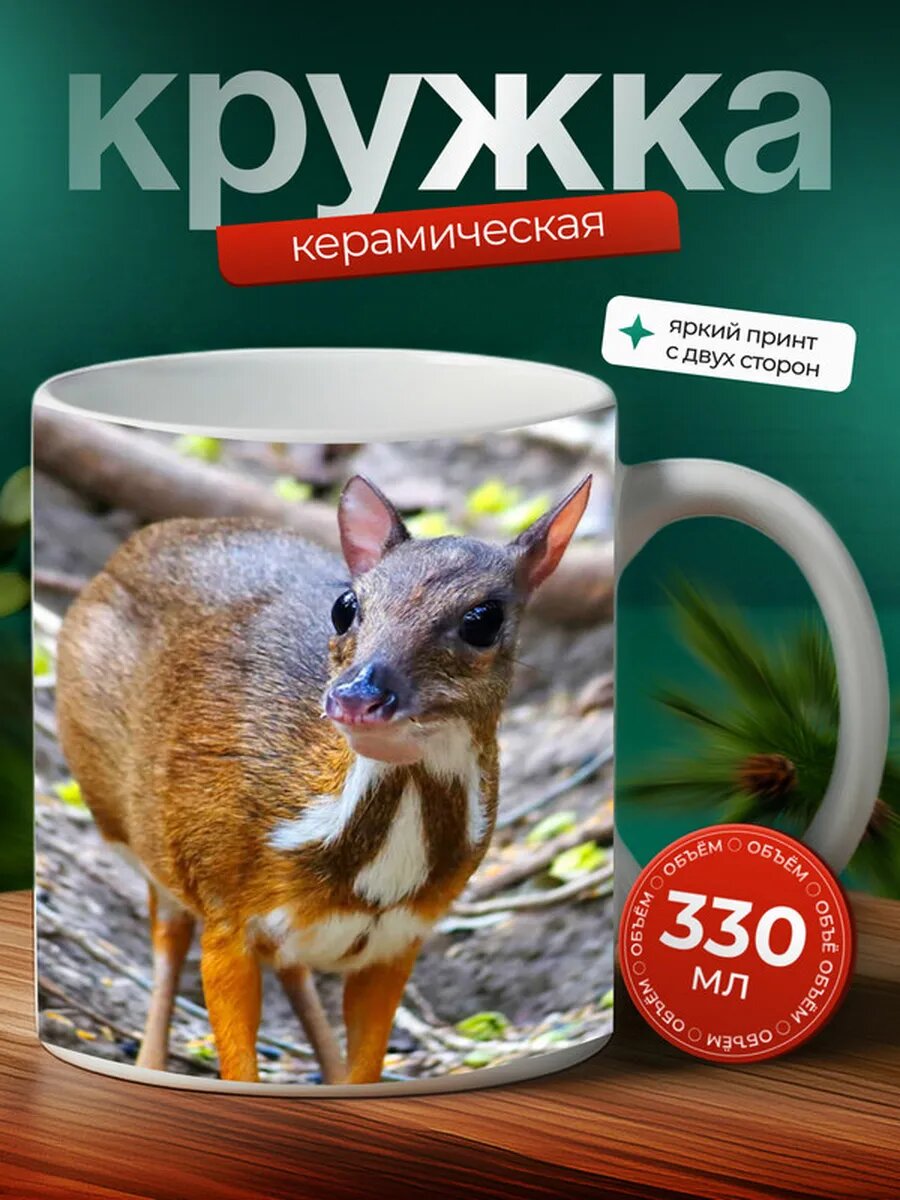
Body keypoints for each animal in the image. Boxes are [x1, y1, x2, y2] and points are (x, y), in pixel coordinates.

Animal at [55, 473, 591, 1085]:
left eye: (483, 619)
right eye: (346, 606)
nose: (357, 697)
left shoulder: (400, 939)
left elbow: (365, 1065)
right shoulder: (225, 912)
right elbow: (238, 1062)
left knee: (289, 968)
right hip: (138, 834)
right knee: (169, 934)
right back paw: (150, 1063)